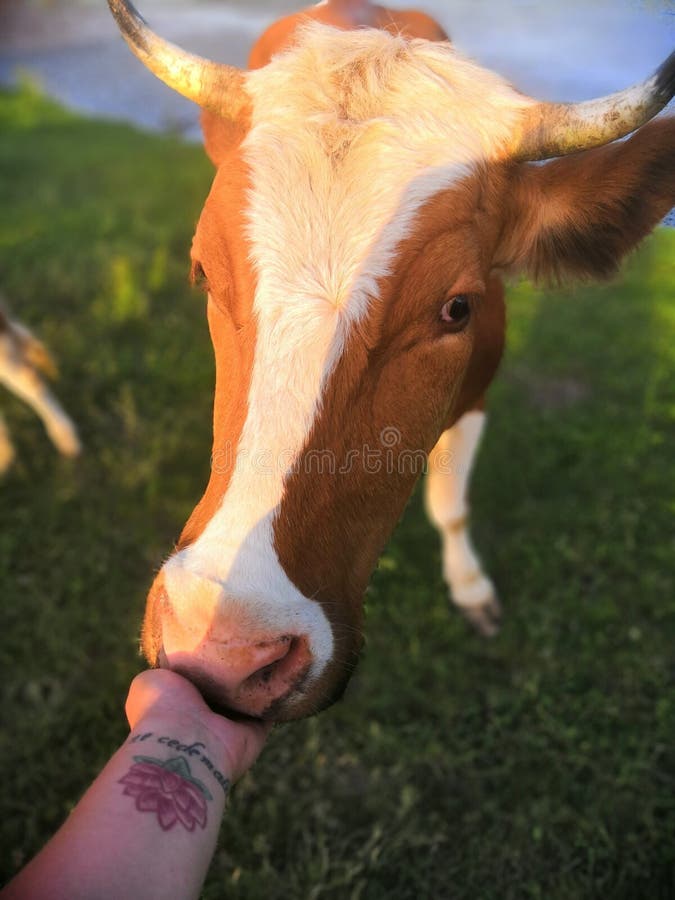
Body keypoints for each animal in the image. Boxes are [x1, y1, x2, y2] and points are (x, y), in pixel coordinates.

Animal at [107, 0, 675, 722]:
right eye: (203, 271)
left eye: (456, 308)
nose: (224, 643)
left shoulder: (476, 396)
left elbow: (450, 505)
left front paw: (470, 588)